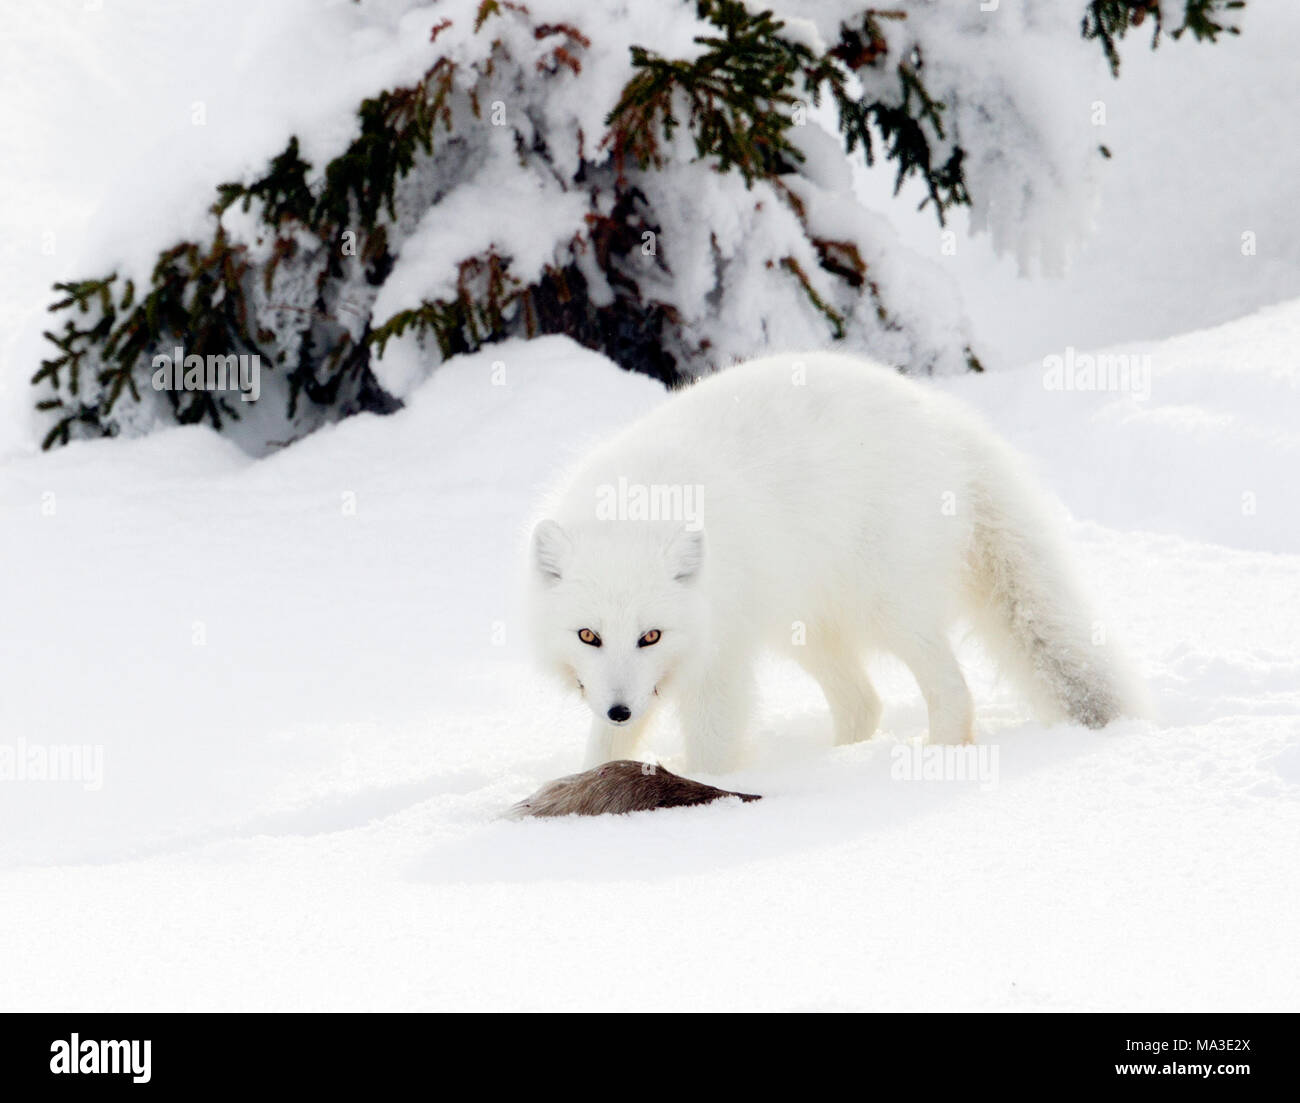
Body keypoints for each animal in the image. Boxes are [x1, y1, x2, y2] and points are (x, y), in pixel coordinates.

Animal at [527, 351, 1142, 773]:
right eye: (588, 636)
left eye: (650, 636)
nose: (619, 710)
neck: (636, 505)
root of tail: (947, 420)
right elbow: (604, 750)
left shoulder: (721, 662)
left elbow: (711, 753)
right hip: (806, 628)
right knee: (863, 705)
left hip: (886, 610)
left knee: (950, 690)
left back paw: (932, 759)